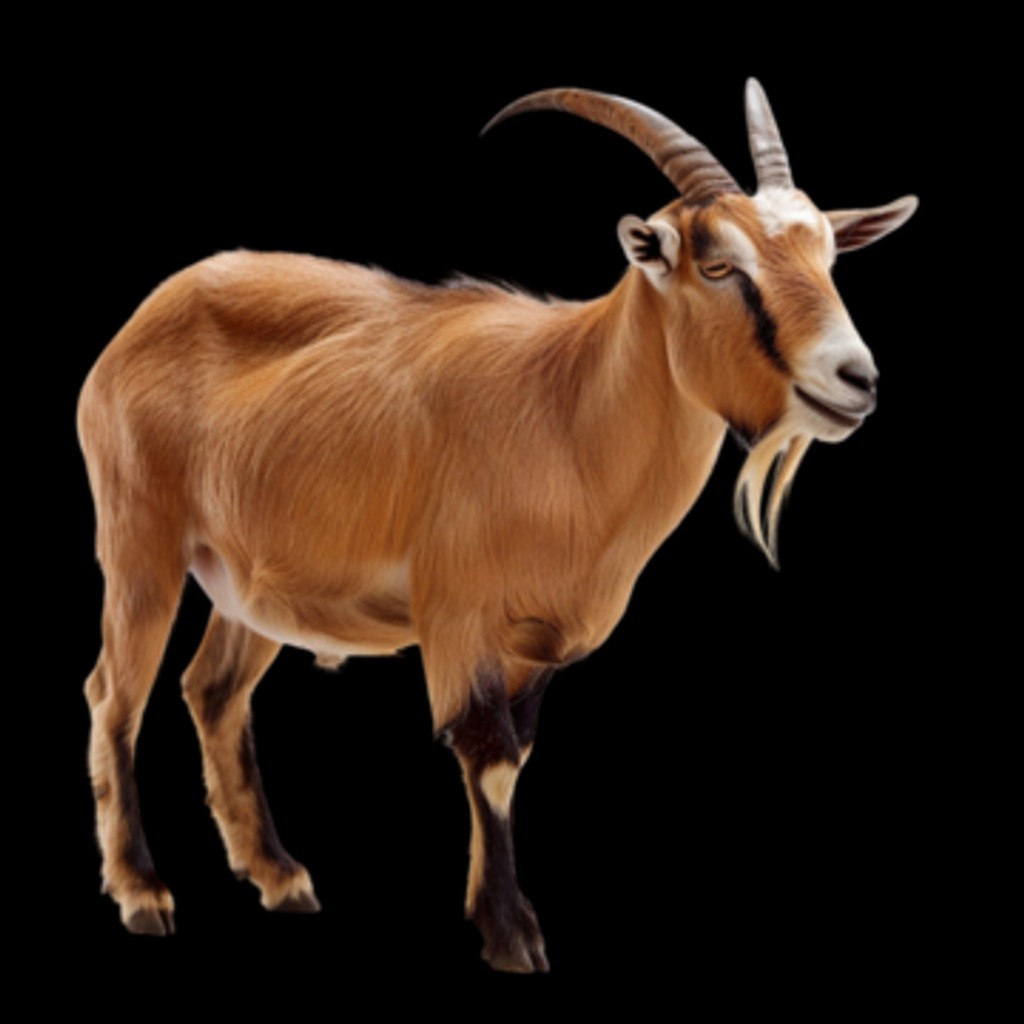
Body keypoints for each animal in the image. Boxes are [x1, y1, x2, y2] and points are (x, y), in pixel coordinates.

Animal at [77, 80, 917, 972]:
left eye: (829, 259)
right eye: (720, 265)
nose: (855, 379)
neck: (569, 407)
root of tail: (140, 321)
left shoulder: (537, 644)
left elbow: (516, 756)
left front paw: (504, 922)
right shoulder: (460, 620)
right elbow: (486, 756)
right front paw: (513, 934)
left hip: (251, 585)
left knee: (212, 690)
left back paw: (280, 876)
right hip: (140, 545)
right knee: (115, 694)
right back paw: (142, 892)